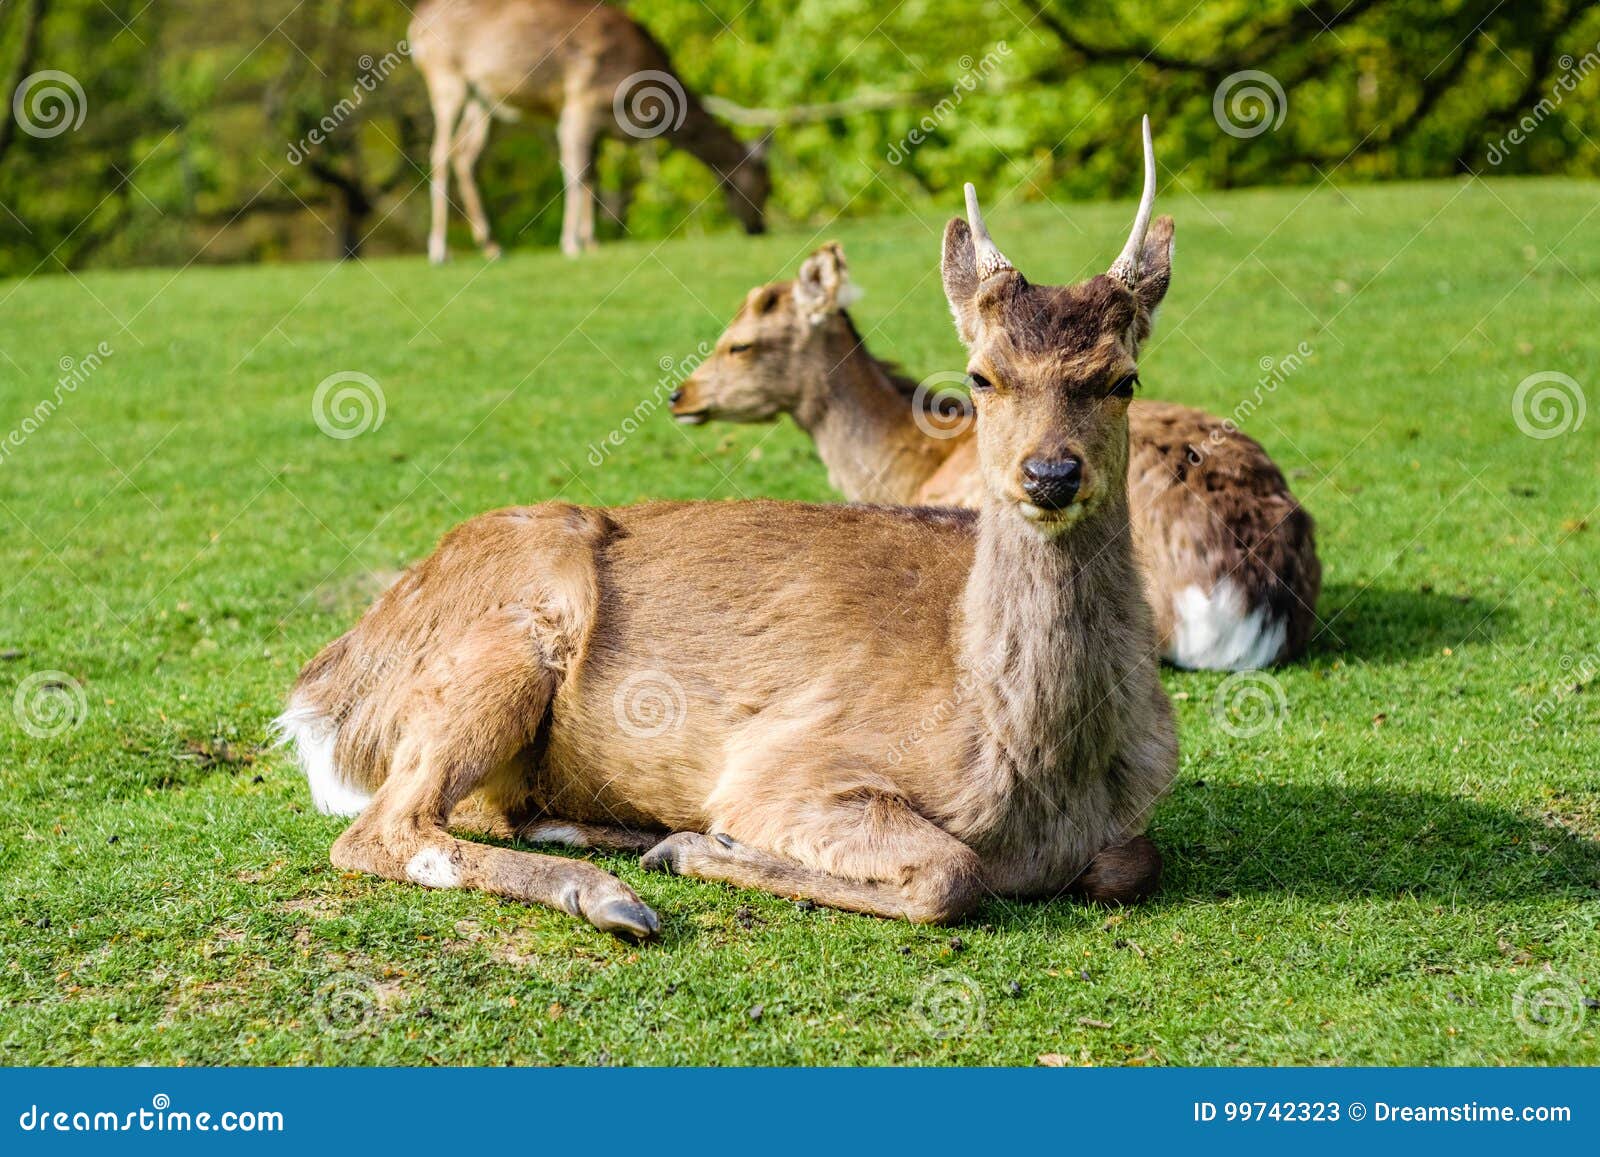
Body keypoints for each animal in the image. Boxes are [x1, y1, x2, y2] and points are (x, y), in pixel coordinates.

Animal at [277, 119, 1179, 941]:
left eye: (1123, 379)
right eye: (981, 376)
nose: (1050, 473)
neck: (1039, 778)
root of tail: (324, 694)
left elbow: (1133, 860)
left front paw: (689, 844)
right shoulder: (786, 763)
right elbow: (952, 873)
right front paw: (700, 848)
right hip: (503, 644)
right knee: (382, 827)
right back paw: (613, 892)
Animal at [409, 0, 770, 261]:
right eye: (765, 187)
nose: (760, 229)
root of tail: (415, 26)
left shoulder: (598, 124)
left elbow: (592, 175)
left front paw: (591, 239)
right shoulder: (581, 104)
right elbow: (576, 173)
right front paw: (571, 244)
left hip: (488, 102)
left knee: (466, 156)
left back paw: (492, 245)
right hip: (446, 78)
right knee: (439, 153)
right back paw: (439, 250)